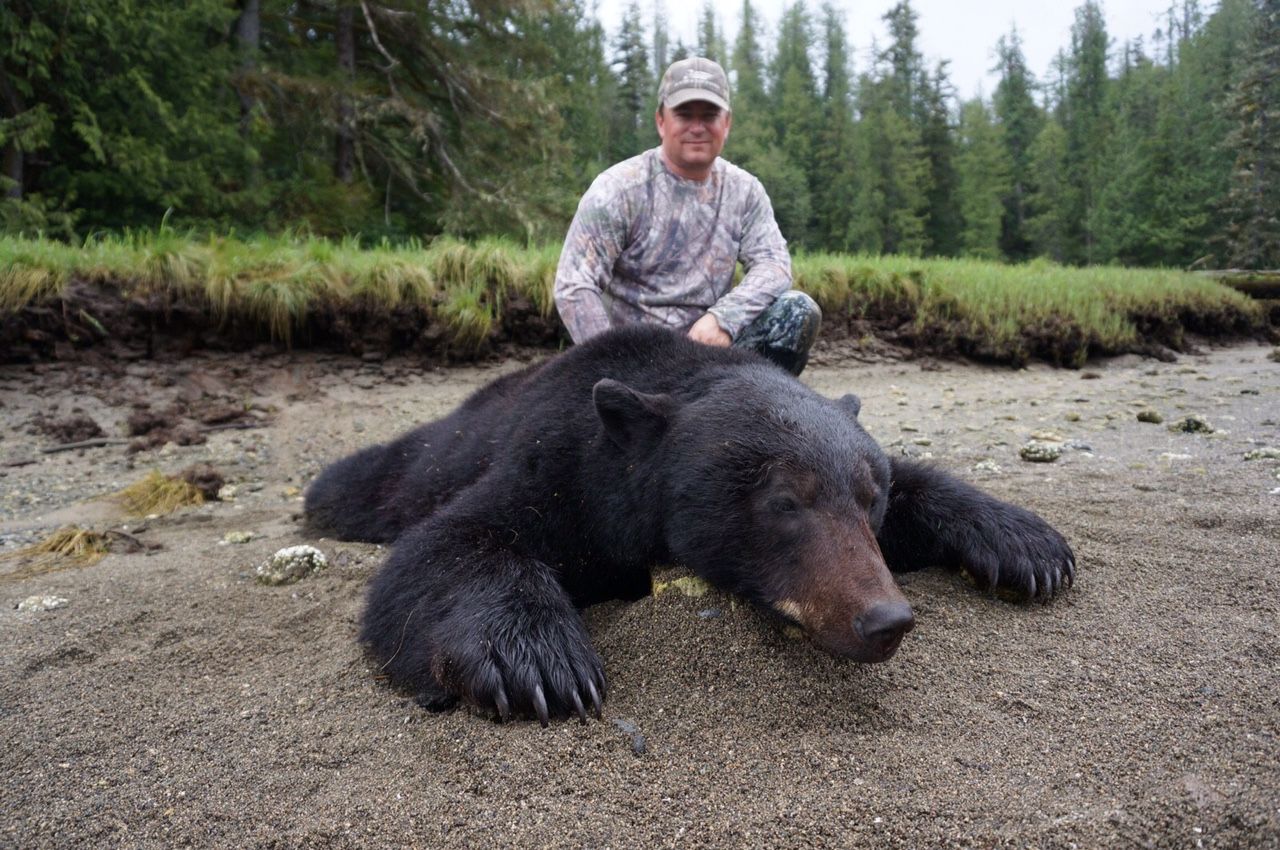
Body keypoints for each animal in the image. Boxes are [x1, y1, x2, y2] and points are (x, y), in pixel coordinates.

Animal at [306, 325, 1074, 725]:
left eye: (869, 498)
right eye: (784, 502)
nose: (884, 619)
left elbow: (927, 487)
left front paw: (1027, 544)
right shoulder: (559, 468)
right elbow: (440, 549)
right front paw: (538, 662)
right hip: (432, 455)